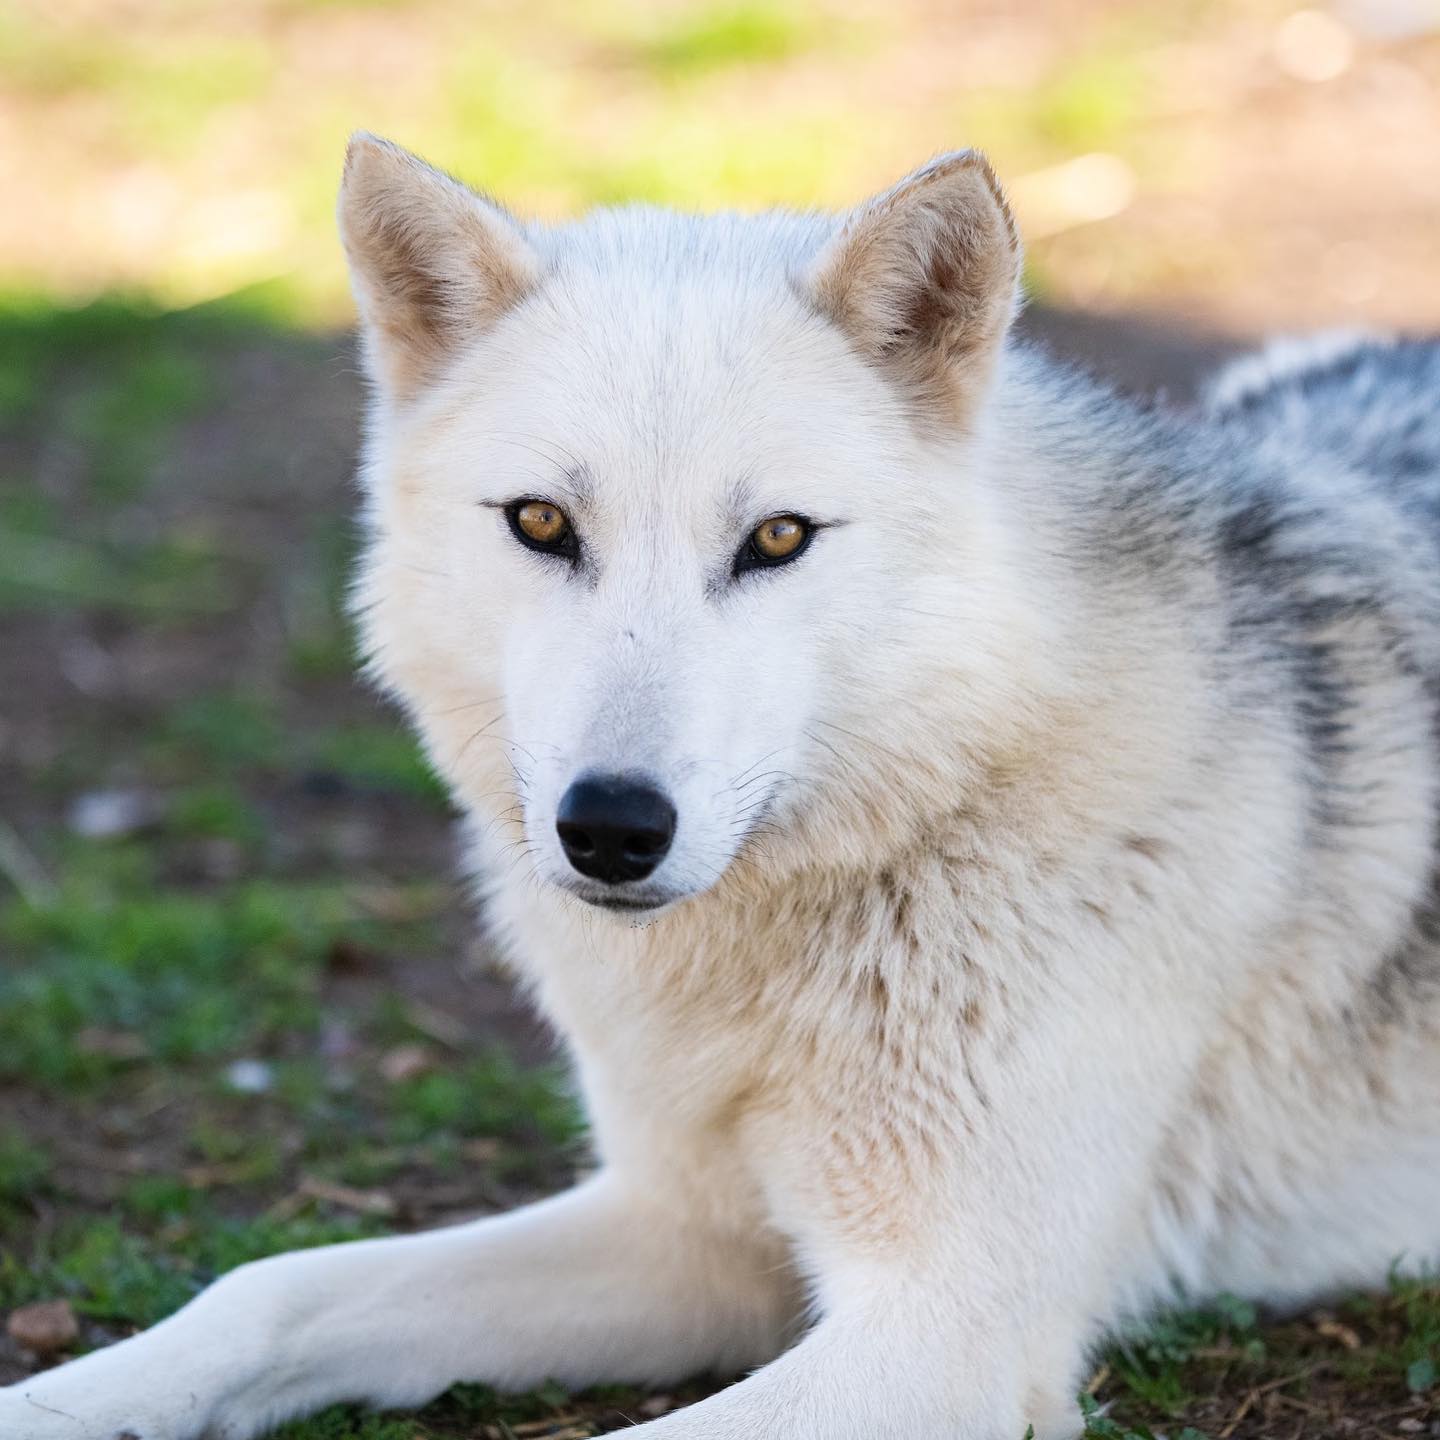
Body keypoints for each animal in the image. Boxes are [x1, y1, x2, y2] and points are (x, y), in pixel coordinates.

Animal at [3, 136, 1438, 1440]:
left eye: (779, 538)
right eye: (540, 524)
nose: (612, 828)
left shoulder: (949, 1334)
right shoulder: (686, 1234)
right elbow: (265, 1291)